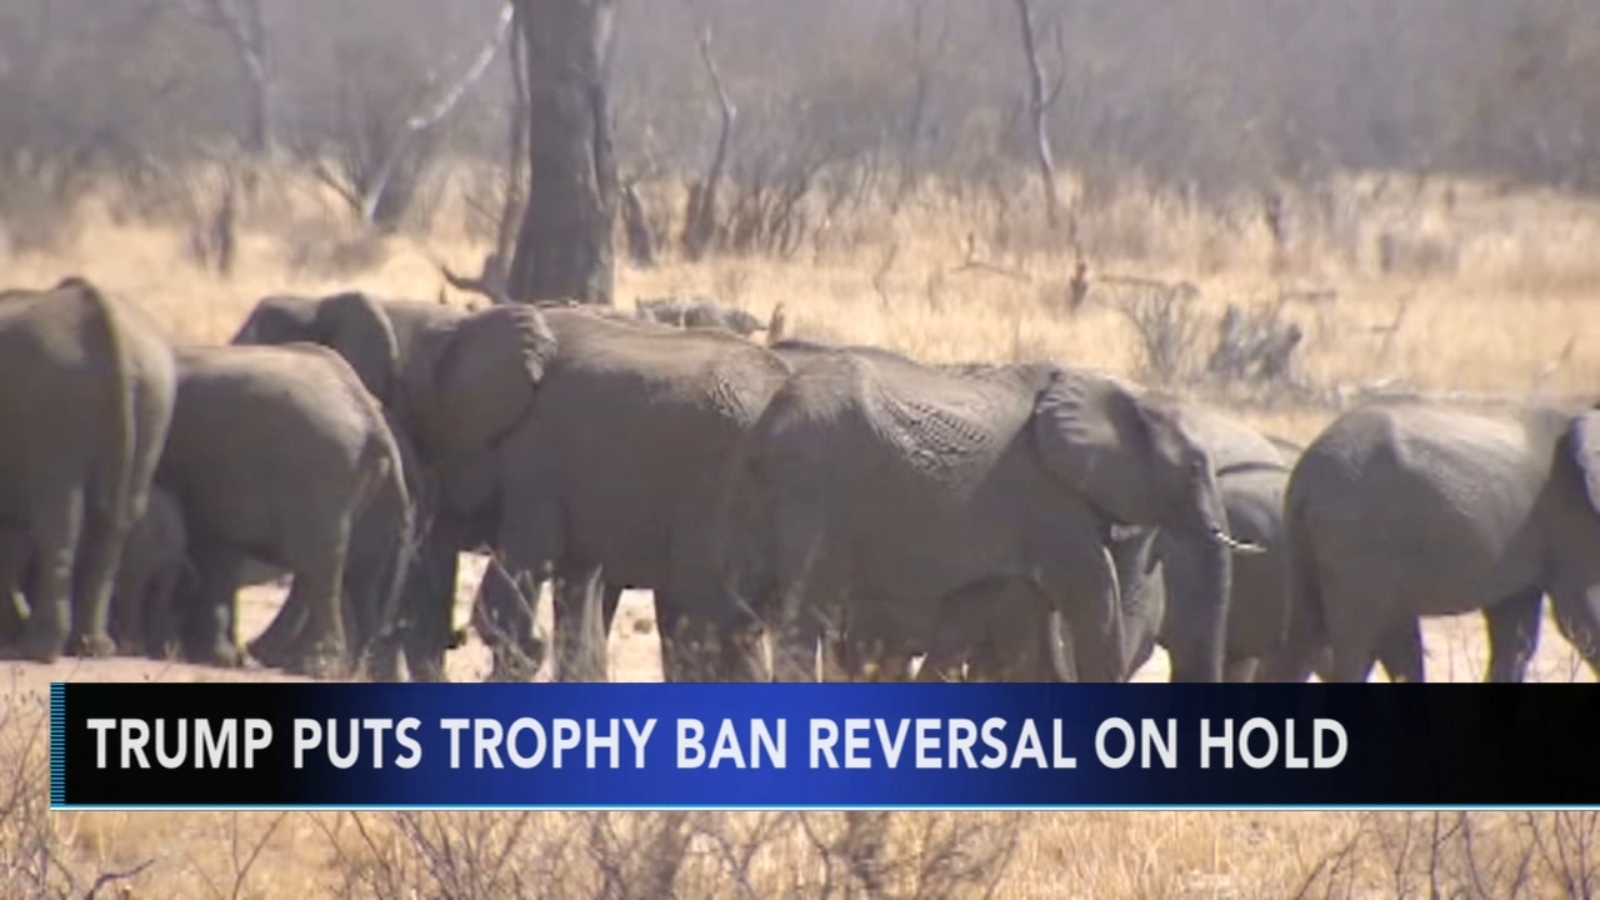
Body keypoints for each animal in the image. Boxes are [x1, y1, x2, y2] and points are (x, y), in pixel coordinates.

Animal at [0, 277, 177, 663]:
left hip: (57, 401)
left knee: (60, 519)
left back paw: (36, 650)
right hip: (154, 398)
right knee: (118, 521)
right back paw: (93, 647)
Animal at [155, 343, 415, 678]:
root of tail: (373, 421)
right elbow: (215, 549)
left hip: (319, 470)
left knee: (321, 561)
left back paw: (315, 667)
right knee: (358, 574)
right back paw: (347, 668)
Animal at [719, 348, 1258, 686]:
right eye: (1194, 467)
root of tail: (768, 423)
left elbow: (971, 610)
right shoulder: (1048, 498)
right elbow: (1092, 594)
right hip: (817, 490)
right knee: (803, 610)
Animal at [1281, 398, 1600, 683]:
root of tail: (1304, 476)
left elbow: (1515, 631)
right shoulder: (1572, 518)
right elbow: (1580, 611)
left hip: (1316, 544)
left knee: (1308, 638)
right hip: (1358, 538)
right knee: (1358, 643)